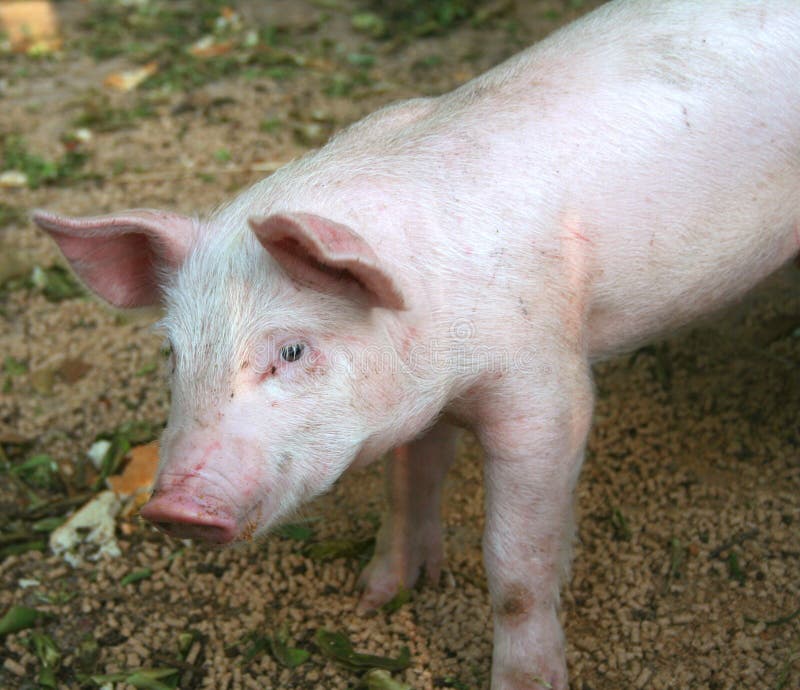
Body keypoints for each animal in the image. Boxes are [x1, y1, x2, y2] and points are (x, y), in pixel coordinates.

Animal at [34, 0, 800, 687]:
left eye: (292, 352)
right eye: (173, 354)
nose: (174, 508)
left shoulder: (547, 390)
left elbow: (515, 564)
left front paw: (526, 678)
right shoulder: (414, 407)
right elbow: (408, 487)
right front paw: (379, 597)